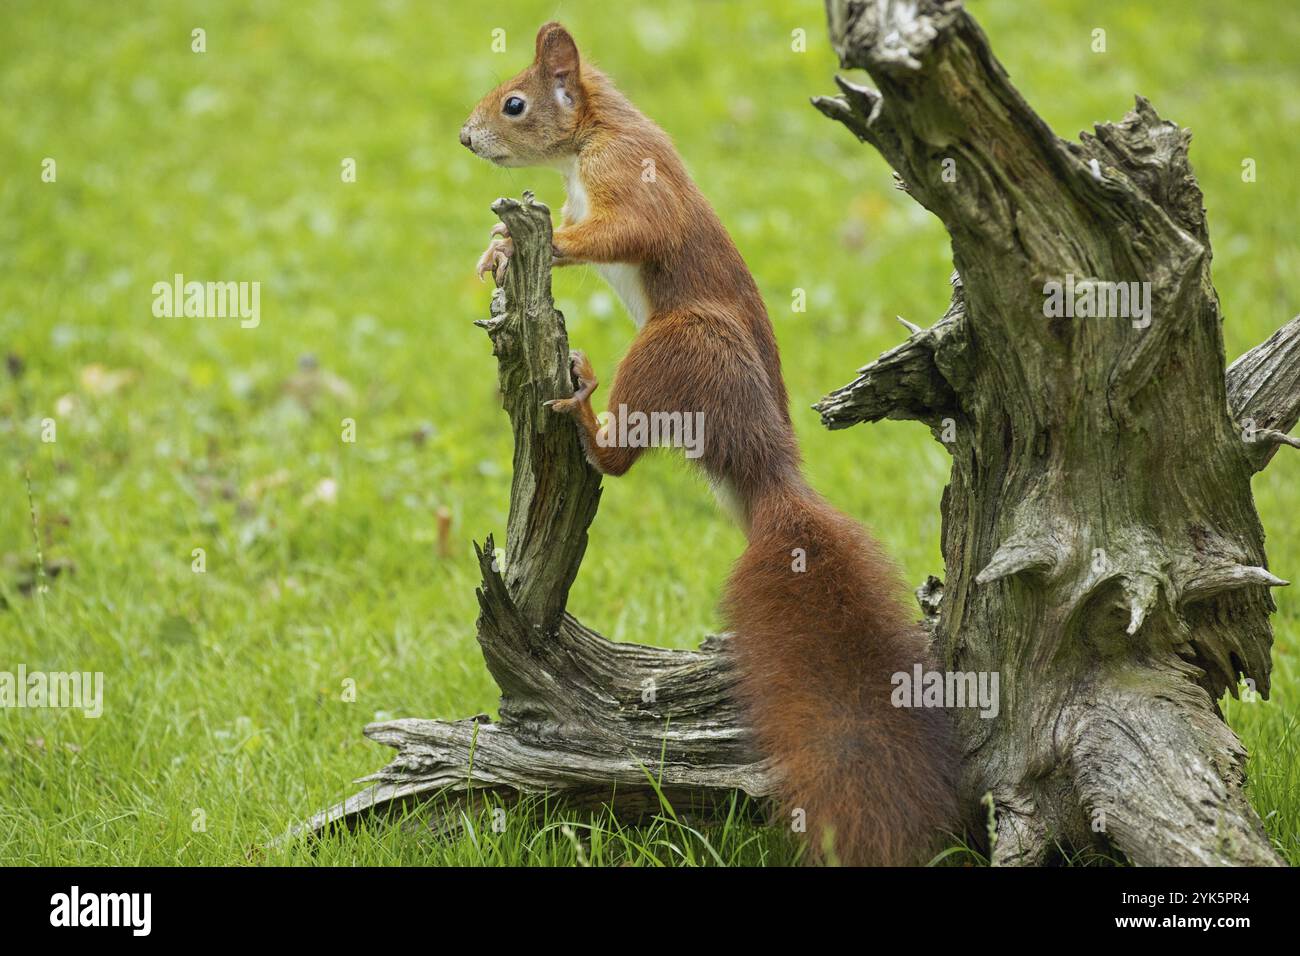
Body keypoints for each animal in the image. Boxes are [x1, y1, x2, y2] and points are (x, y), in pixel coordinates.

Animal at [460, 22, 958, 865]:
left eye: (515, 103)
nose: (467, 136)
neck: (594, 133)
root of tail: (764, 470)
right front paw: (498, 247)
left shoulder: (628, 173)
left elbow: (630, 228)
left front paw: (533, 244)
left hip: (679, 345)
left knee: (618, 456)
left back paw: (585, 407)